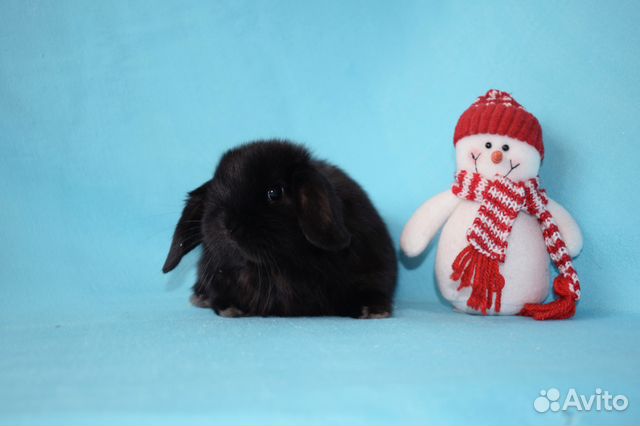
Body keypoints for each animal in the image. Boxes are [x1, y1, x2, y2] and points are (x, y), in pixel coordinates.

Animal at [162, 139, 397, 318]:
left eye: (274, 192)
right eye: (214, 190)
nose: (227, 224)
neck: (275, 268)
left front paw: (372, 310)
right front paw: (231, 308)